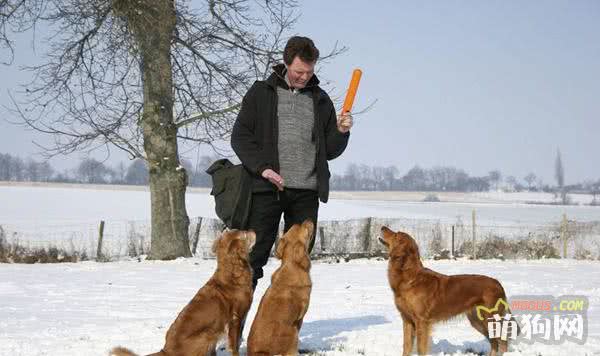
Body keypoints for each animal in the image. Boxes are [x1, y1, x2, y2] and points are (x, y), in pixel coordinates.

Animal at [110, 228, 255, 356]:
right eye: (244, 233)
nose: (253, 230)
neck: (232, 273)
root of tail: (166, 350)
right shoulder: (235, 320)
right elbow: (234, 346)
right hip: (206, 334)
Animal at [380, 227, 516, 354]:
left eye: (396, 235)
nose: (382, 227)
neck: (410, 276)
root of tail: (497, 283)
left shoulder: (421, 321)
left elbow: (420, 348)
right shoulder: (407, 320)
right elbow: (406, 346)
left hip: (489, 318)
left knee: (502, 341)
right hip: (477, 320)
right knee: (494, 342)